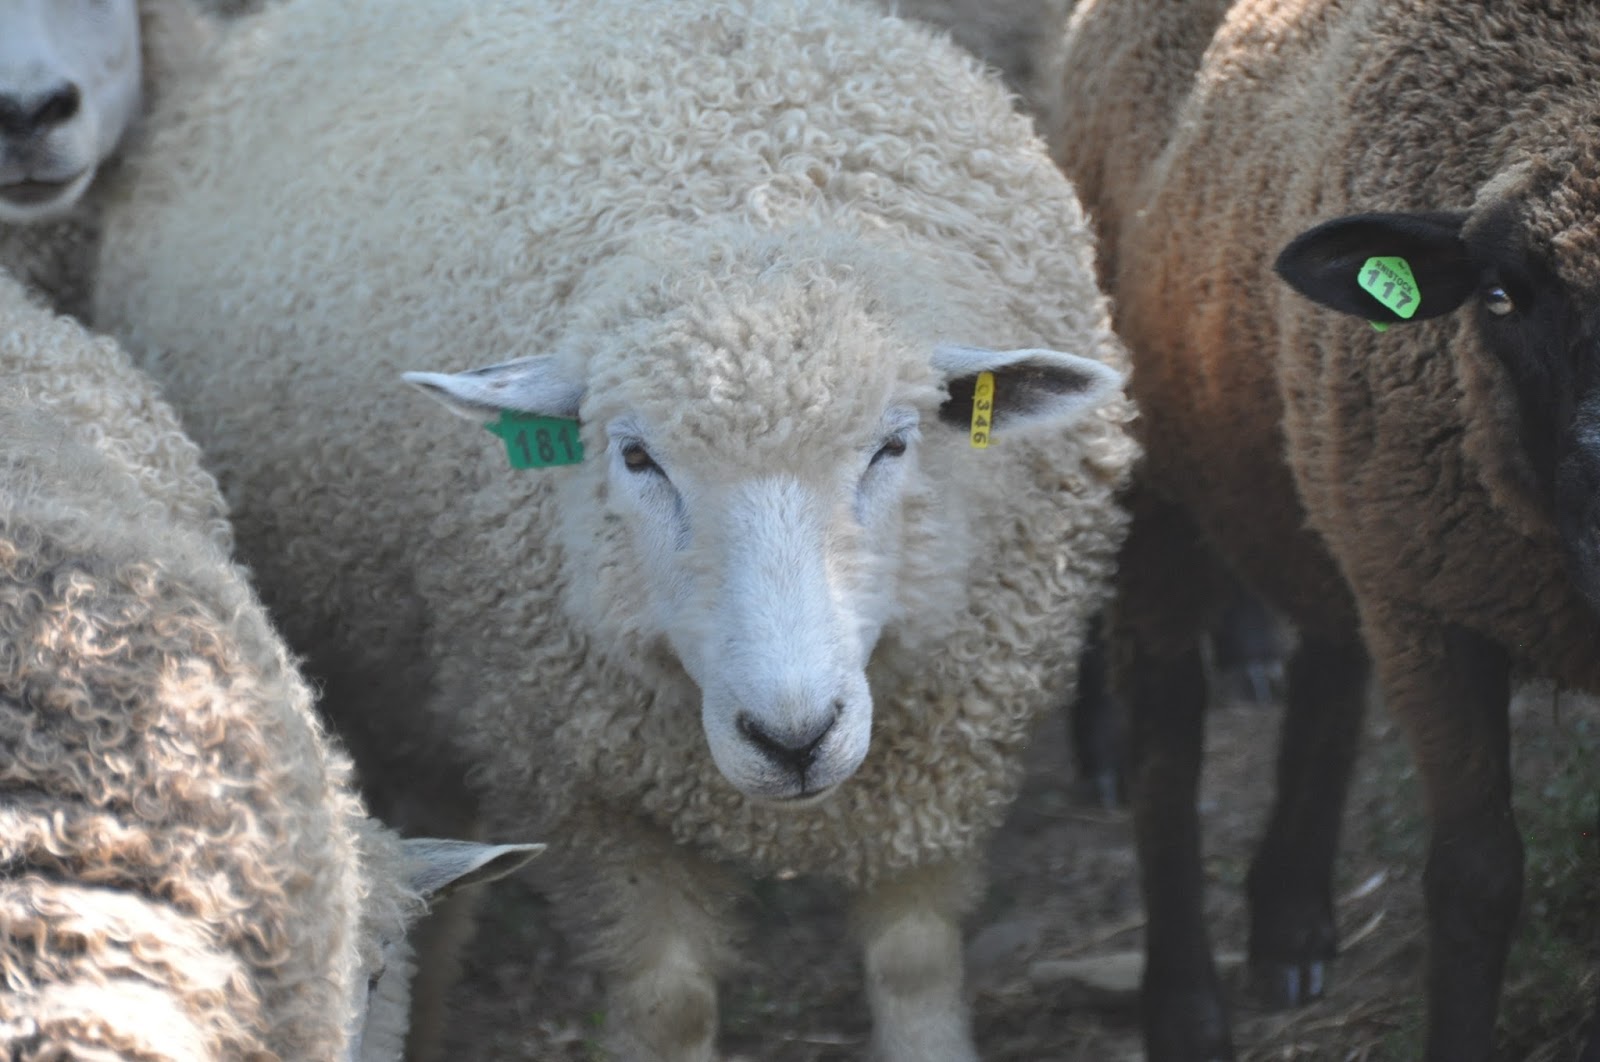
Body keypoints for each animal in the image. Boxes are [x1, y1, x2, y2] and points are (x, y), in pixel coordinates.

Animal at [91, 0, 1139, 1056]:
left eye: (894, 443)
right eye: (636, 458)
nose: (792, 739)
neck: (757, 188)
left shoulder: (940, 767)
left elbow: (915, 967)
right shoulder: (595, 794)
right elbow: (668, 1003)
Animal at [1048, 1, 1600, 1059]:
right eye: (1500, 297)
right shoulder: (1430, 612)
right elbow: (1475, 881)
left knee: (1328, 659)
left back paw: (1290, 919)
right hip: (1157, 461)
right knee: (1167, 723)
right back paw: (1183, 1000)